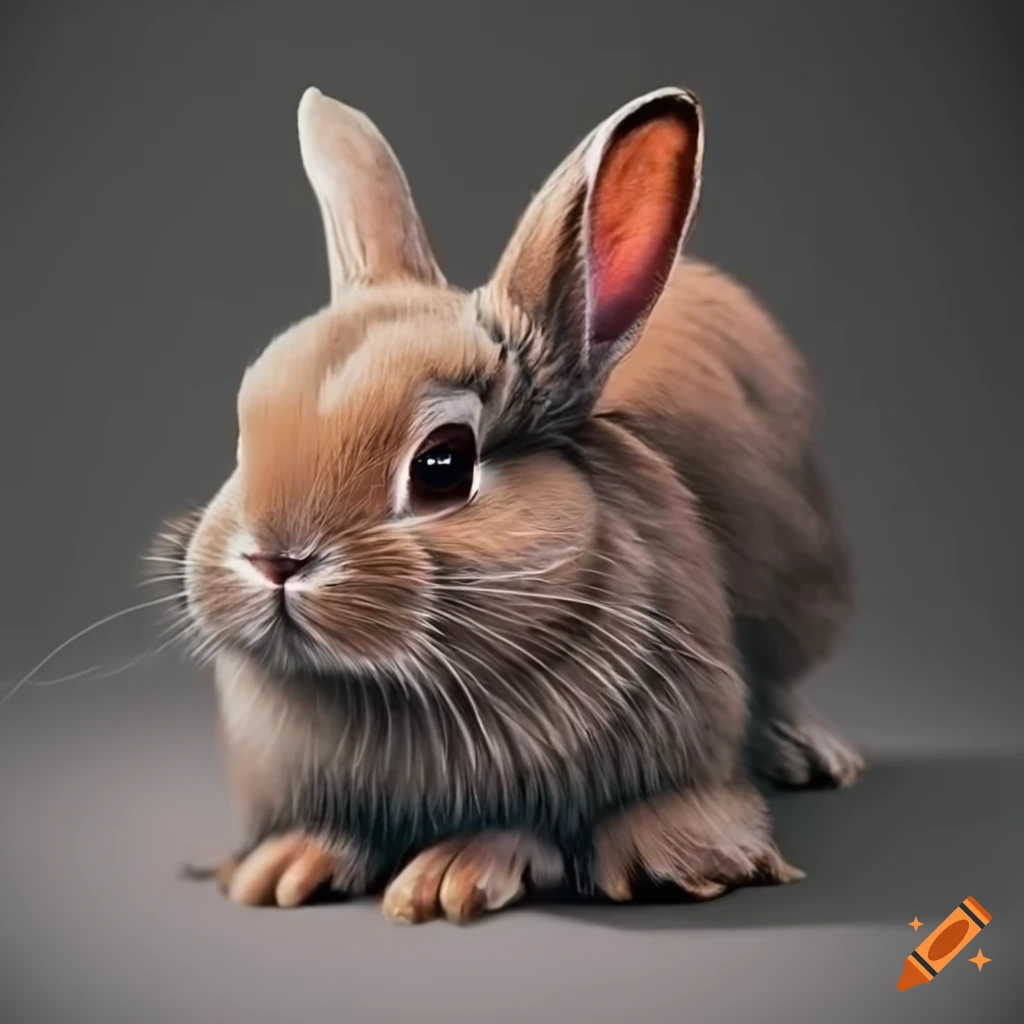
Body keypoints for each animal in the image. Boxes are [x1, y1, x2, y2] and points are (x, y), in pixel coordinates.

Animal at [156, 84, 864, 924]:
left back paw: (812, 755)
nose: (275, 559)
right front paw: (284, 868)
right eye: (244, 437)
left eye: (442, 465)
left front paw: (449, 876)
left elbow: (540, 831)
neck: (389, 691)